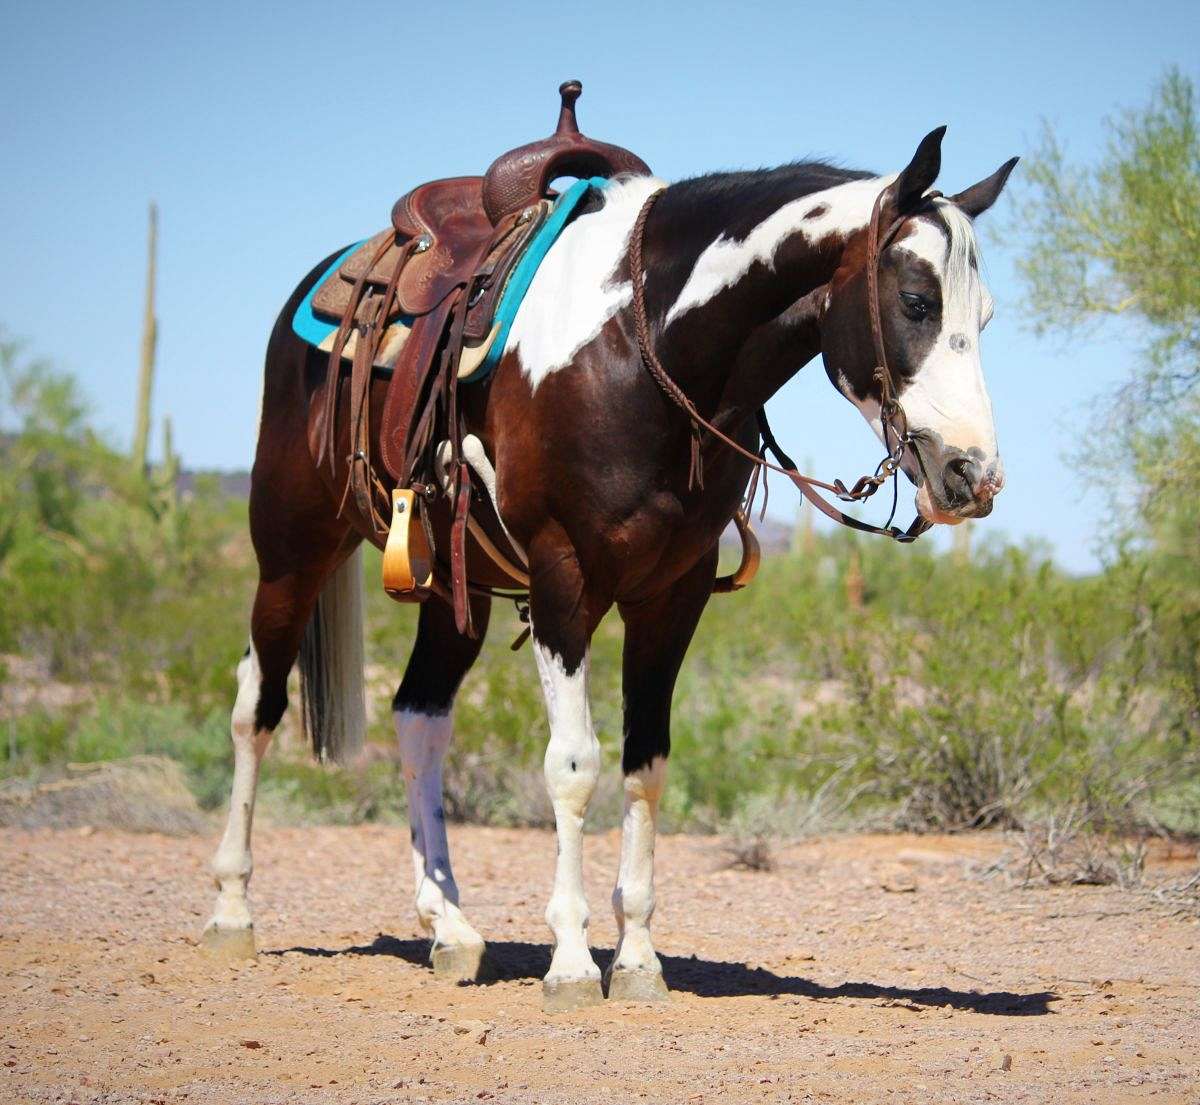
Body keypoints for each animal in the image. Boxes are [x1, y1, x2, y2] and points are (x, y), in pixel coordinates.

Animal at [203, 123, 1016, 1012]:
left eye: (985, 314)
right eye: (917, 301)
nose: (974, 475)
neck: (644, 343)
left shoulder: (671, 596)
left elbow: (645, 766)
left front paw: (636, 959)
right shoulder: (564, 583)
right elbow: (574, 766)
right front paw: (569, 958)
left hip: (457, 589)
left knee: (419, 717)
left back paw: (449, 925)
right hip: (292, 548)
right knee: (255, 706)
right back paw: (232, 909)